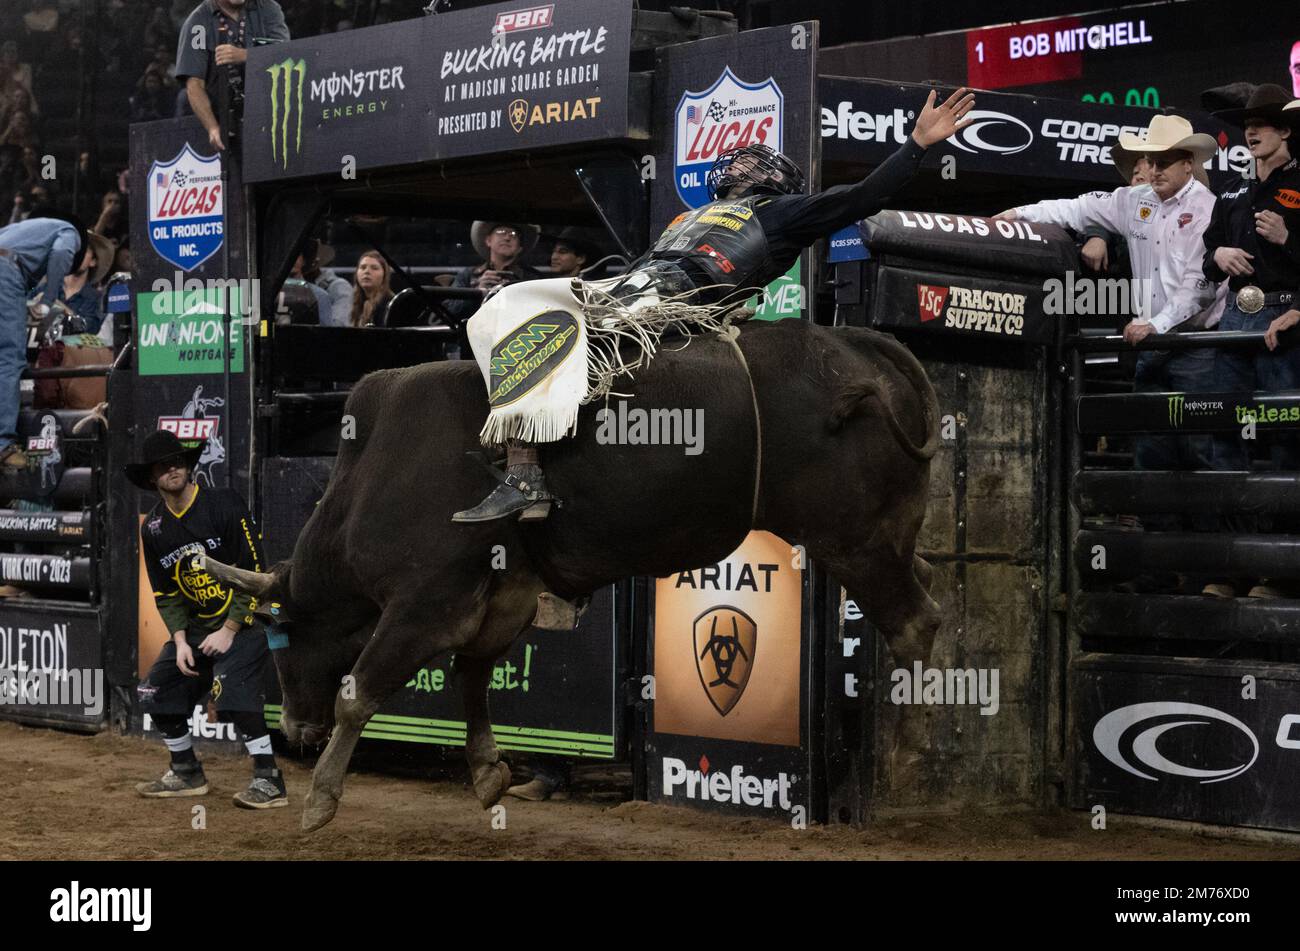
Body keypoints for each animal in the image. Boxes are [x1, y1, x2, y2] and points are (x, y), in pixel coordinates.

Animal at [205, 317, 942, 831]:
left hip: (855, 540)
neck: (371, 478)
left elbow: (360, 691)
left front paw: (320, 801)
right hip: (887, 532)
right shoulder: (501, 599)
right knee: (928, 589)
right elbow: (471, 679)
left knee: (914, 621)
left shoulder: (422, 603)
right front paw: (488, 773)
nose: (294, 730)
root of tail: (854, 345)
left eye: (279, 636)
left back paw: (914, 751)